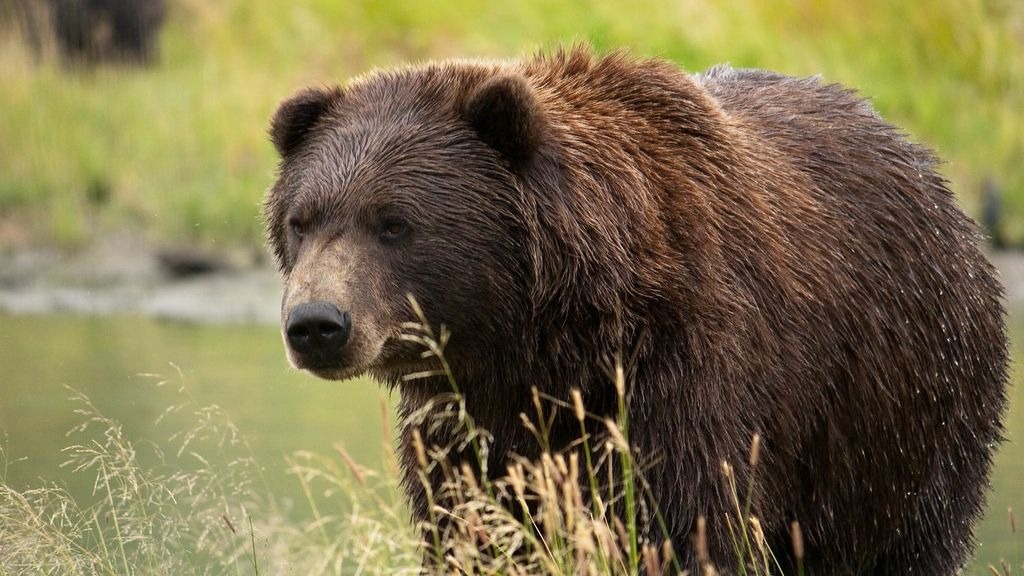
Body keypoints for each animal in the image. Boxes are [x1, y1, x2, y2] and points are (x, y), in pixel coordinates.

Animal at [263, 47, 1008, 574]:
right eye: (303, 220)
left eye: (393, 222)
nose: (316, 325)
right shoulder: (466, 422)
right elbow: (474, 527)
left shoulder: (685, 374)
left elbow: (684, 524)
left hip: (900, 410)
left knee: (903, 537)